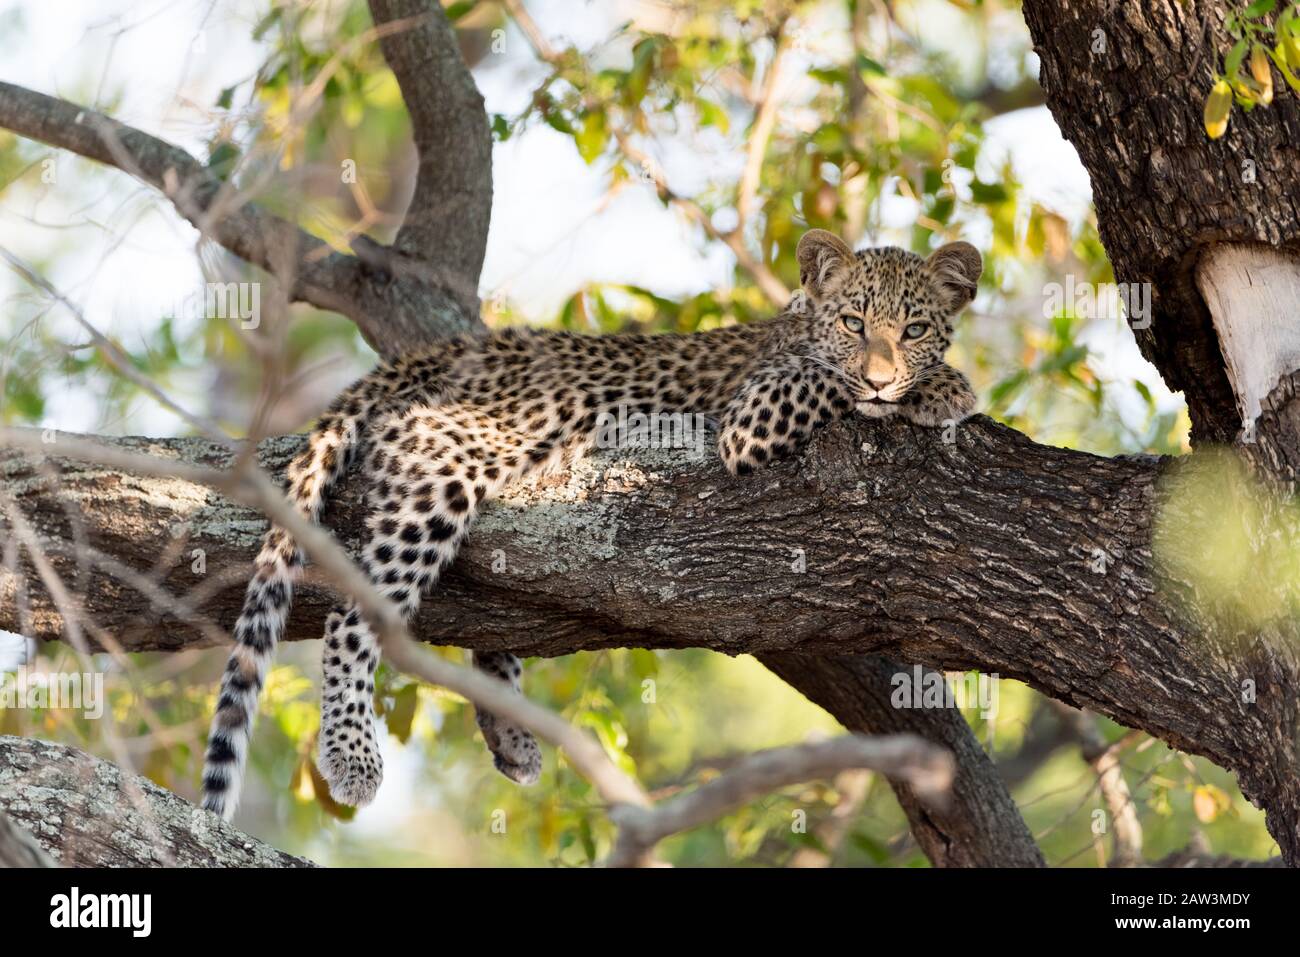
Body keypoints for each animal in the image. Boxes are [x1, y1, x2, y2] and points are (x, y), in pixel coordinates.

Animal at [200, 229, 982, 820]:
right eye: (854, 323)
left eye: (913, 328)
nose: (883, 374)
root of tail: (446, 351)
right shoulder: (754, 415)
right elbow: (828, 379)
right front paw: (943, 387)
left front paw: (927, 383)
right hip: (459, 453)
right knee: (354, 614)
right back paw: (351, 752)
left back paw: (511, 733)